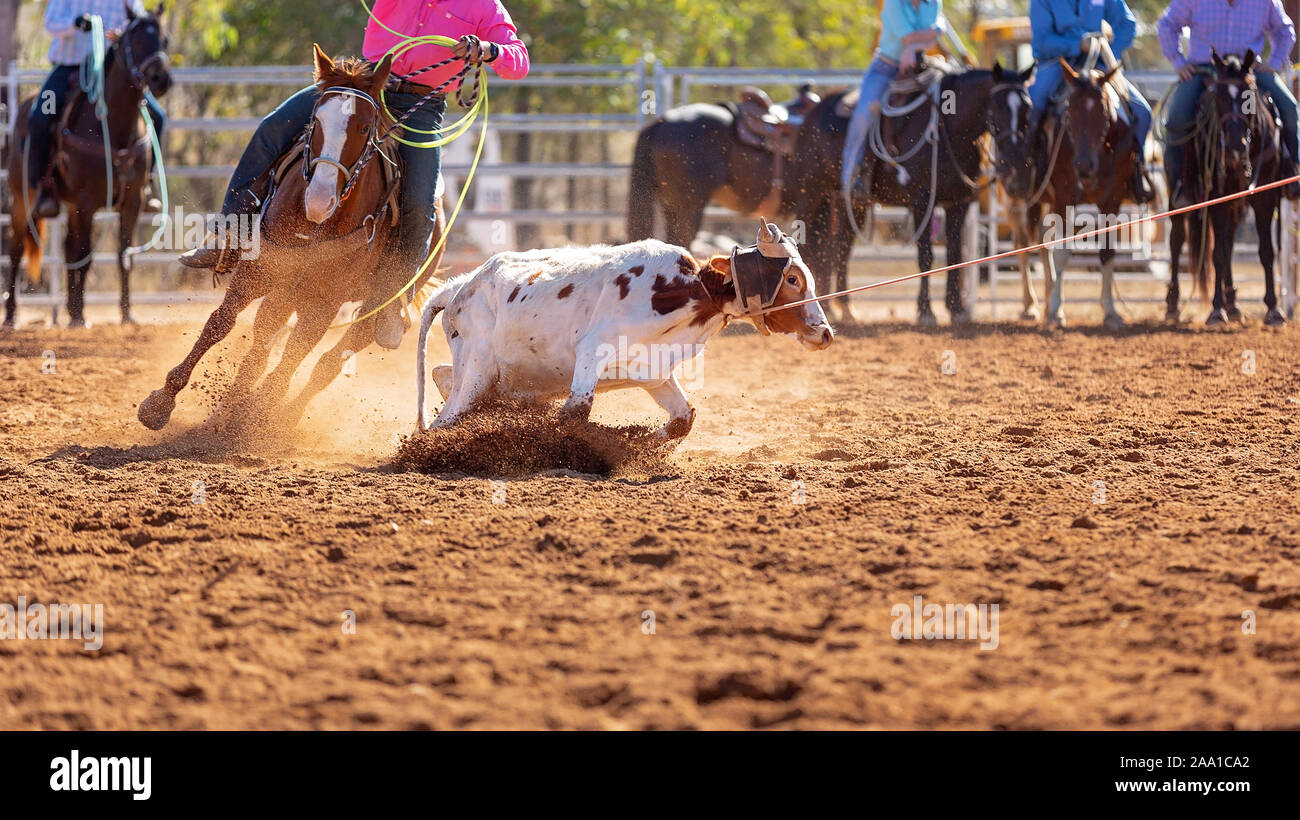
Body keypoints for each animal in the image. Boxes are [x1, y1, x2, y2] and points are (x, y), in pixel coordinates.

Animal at [415, 220, 833, 438]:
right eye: (792, 279)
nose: (825, 332)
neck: (691, 289)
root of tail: (461, 285)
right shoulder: (593, 349)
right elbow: (576, 410)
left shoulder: (655, 373)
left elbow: (684, 418)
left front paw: (643, 442)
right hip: (478, 368)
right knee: (444, 418)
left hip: (490, 376)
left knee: (442, 375)